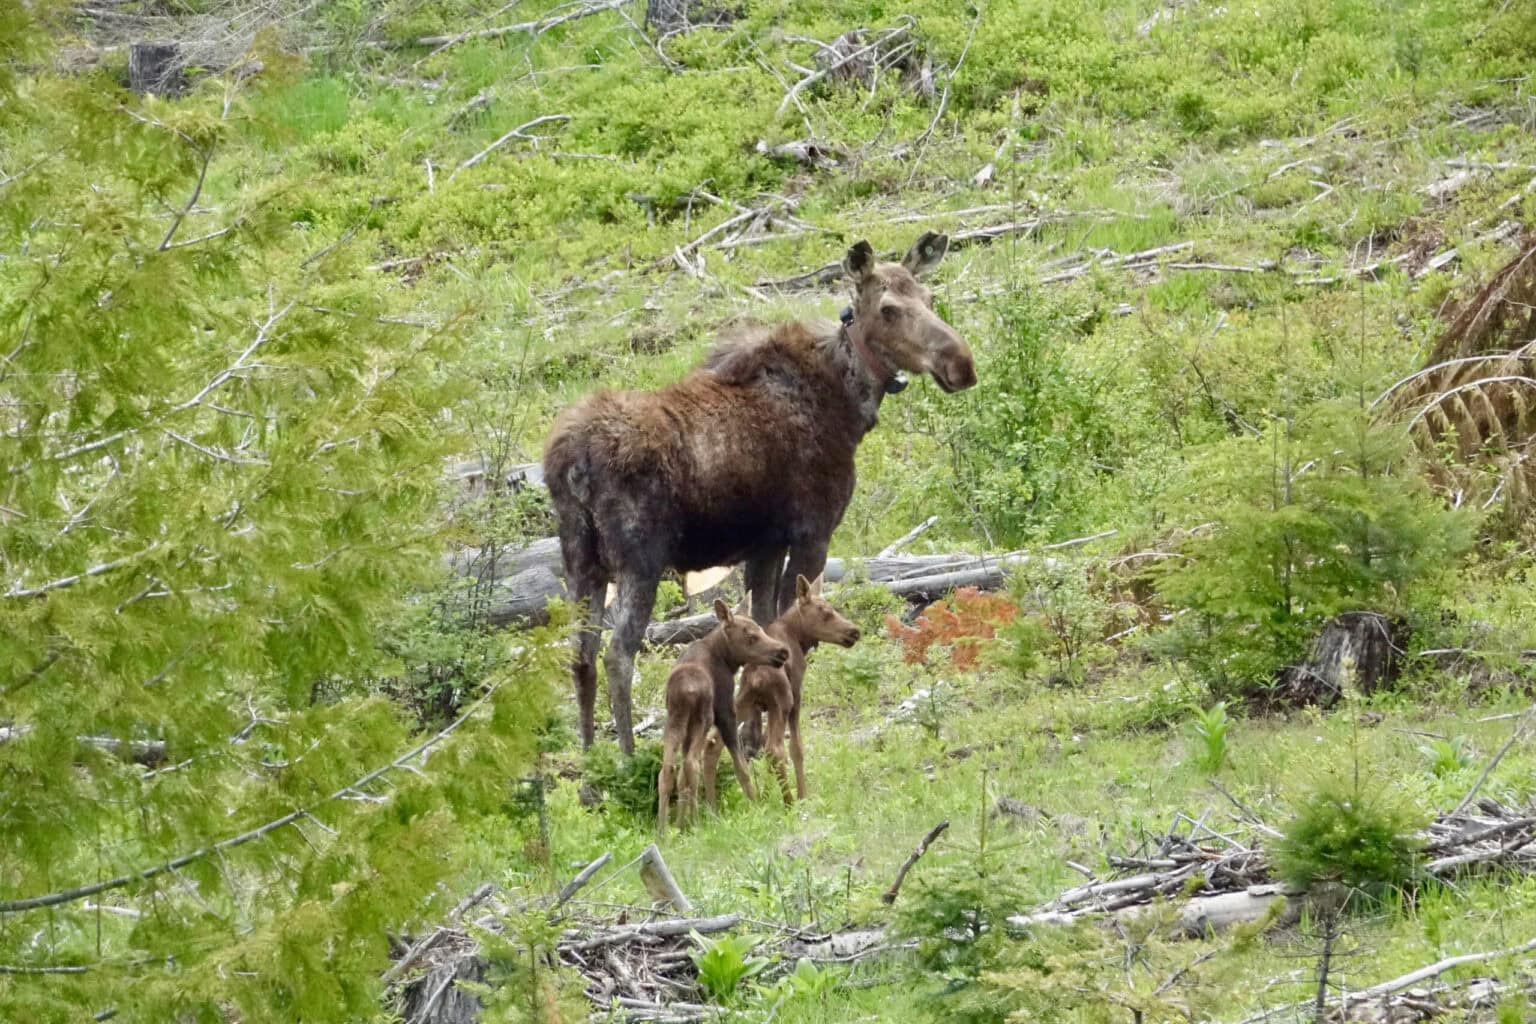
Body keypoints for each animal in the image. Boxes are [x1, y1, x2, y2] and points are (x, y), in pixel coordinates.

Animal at [544, 232, 975, 755]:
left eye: (929, 298)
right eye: (889, 308)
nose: (961, 364)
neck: (850, 404)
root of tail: (568, 462)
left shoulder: (764, 546)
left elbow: (763, 630)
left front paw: (750, 734)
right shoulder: (812, 532)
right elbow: (791, 631)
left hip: (580, 560)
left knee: (580, 655)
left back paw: (590, 763)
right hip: (638, 562)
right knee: (617, 656)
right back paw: (627, 757)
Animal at [656, 599, 789, 833]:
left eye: (760, 629)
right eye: (751, 636)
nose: (782, 651)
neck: (727, 660)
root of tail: (685, 691)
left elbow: (680, 776)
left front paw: (692, 821)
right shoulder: (725, 711)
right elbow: (741, 766)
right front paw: (755, 806)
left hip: (675, 722)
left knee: (668, 770)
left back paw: (664, 829)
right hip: (703, 718)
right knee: (692, 763)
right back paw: (695, 823)